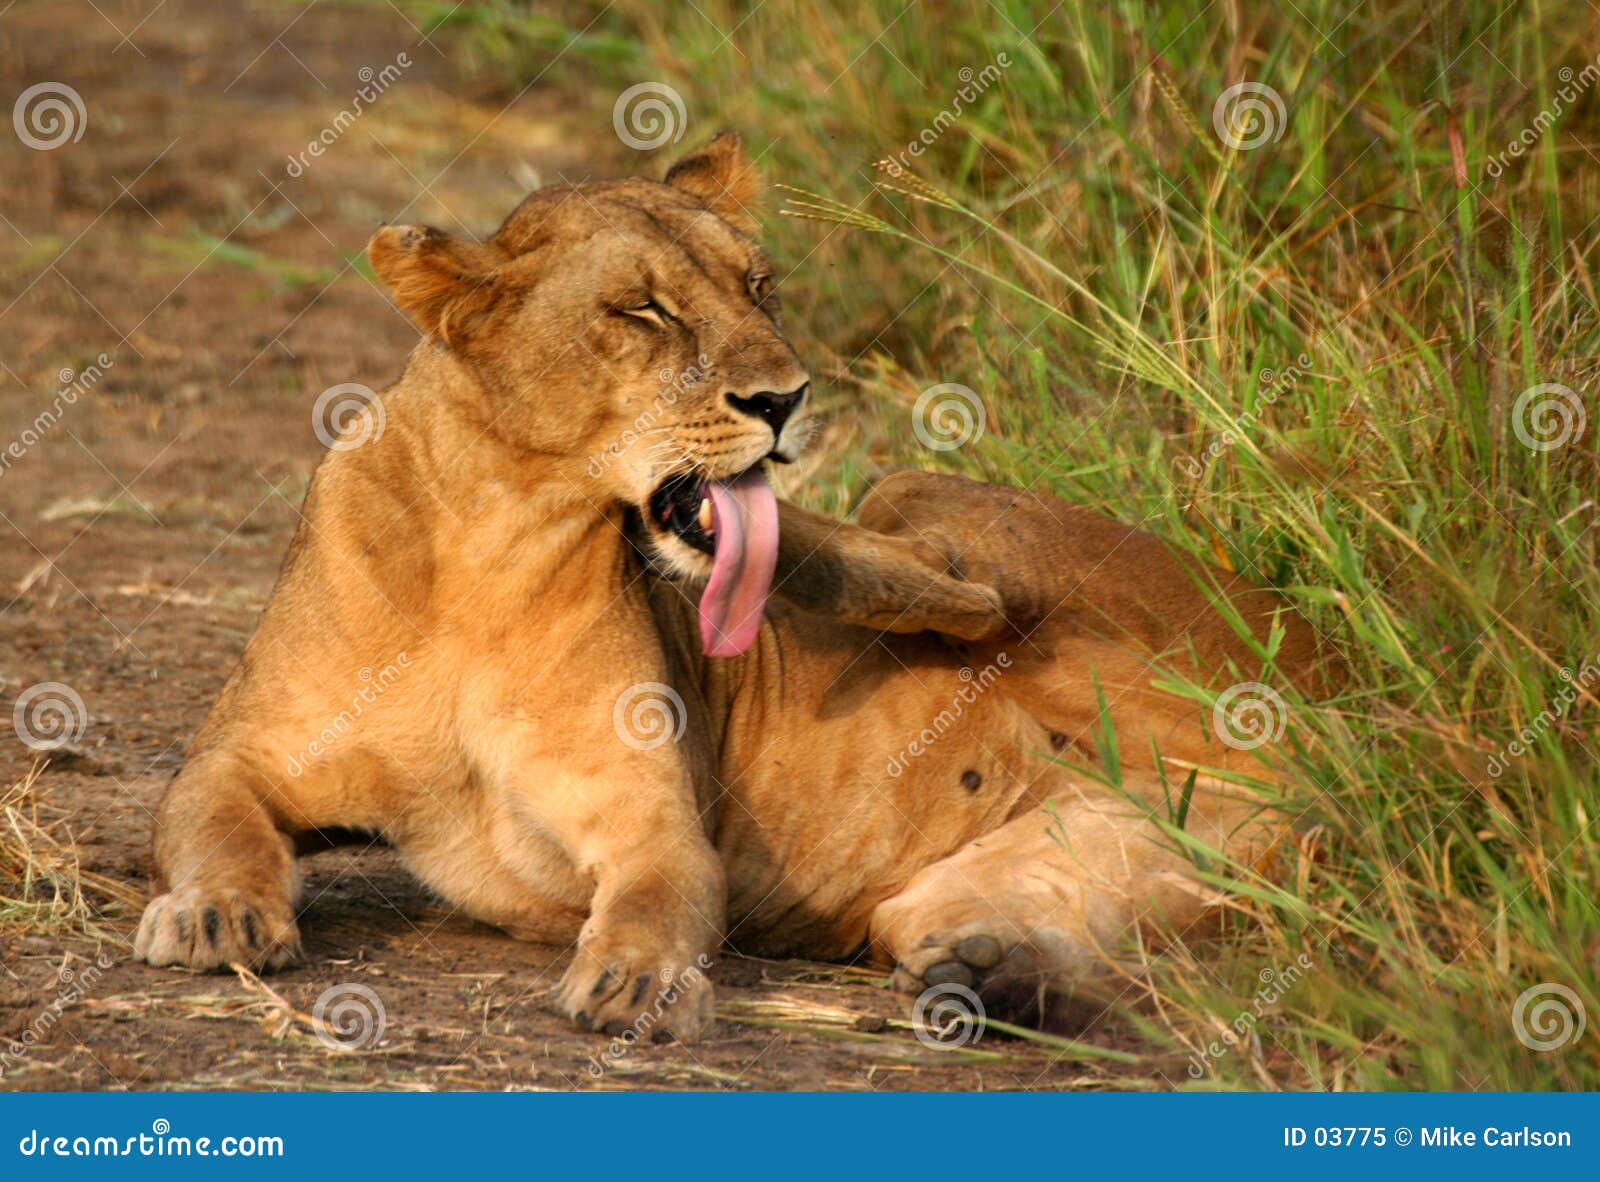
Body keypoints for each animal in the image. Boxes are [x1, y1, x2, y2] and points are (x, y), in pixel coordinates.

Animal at [134, 132, 1332, 1042]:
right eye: (644, 311)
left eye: (759, 287)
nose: (786, 397)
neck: (491, 546)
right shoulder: (240, 754)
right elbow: (213, 825)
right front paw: (215, 920)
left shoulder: (652, 813)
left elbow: (660, 896)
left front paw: (639, 982)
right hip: (1049, 871)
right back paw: (987, 981)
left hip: (933, 509)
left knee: (961, 579)